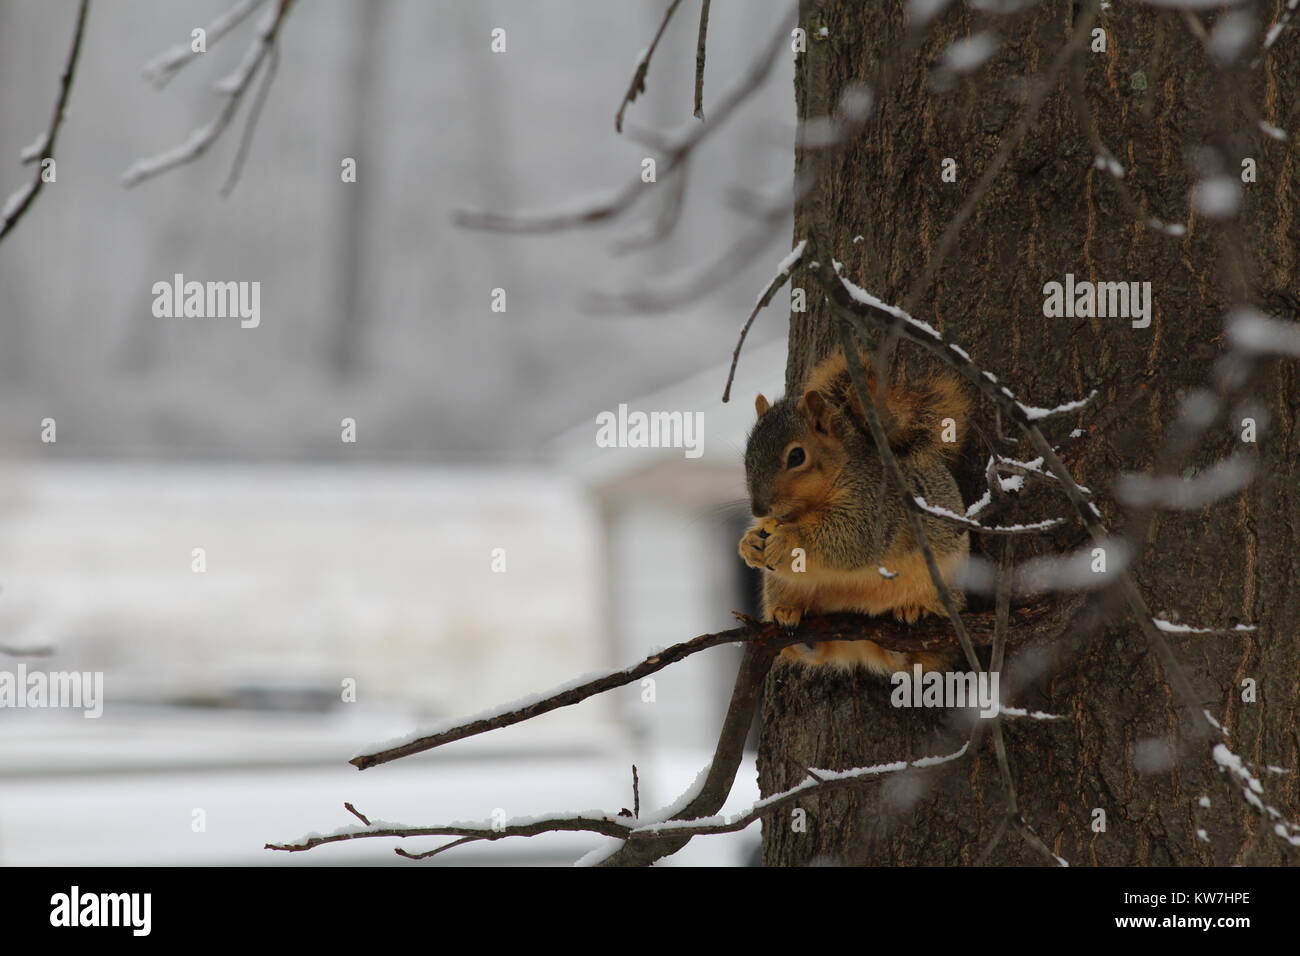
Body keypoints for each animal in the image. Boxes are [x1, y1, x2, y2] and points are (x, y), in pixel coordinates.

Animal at [737, 346, 972, 675]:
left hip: (942, 586)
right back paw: (790, 618)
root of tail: (856, 648)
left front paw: (788, 540)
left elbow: (851, 538)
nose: (759, 508)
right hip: (781, 587)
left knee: (917, 655)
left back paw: (913, 612)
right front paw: (748, 543)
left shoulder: (877, 505)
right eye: (747, 455)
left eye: (796, 456)